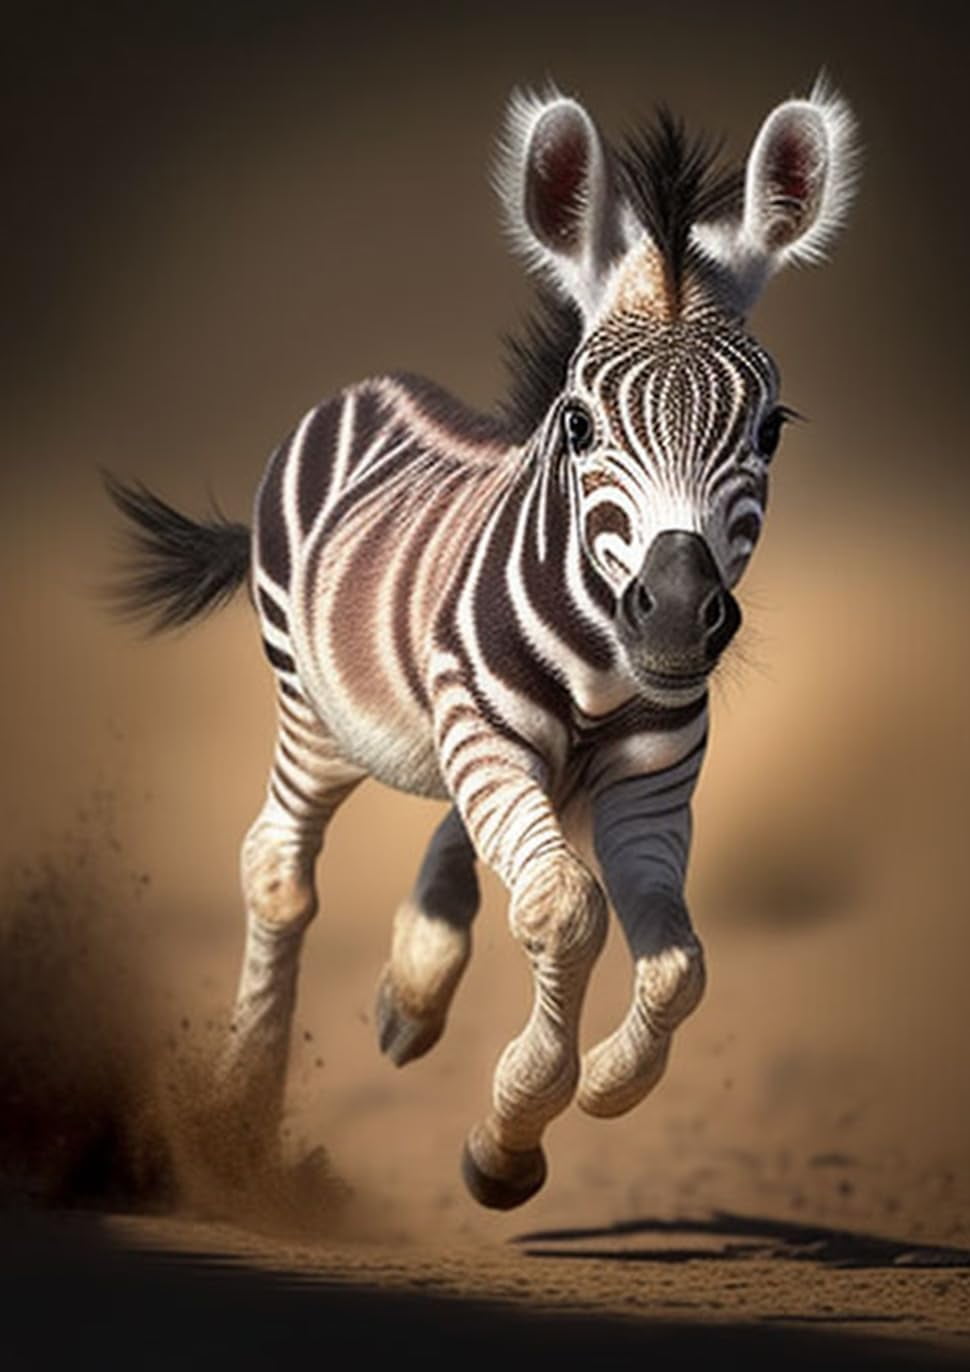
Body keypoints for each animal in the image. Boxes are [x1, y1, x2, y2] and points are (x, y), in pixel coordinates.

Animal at [107, 79, 857, 1210]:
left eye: (769, 429)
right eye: (579, 423)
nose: (677, 615)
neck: (603, 667)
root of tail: (365, 388)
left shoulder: (651, 779)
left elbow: (677, 963)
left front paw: (600, 1083)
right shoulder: (489, 734)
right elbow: (566, 909)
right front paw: (511, 1135)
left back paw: (418, 980)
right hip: (320, 716)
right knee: (276, 863)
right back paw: (239, 1113)